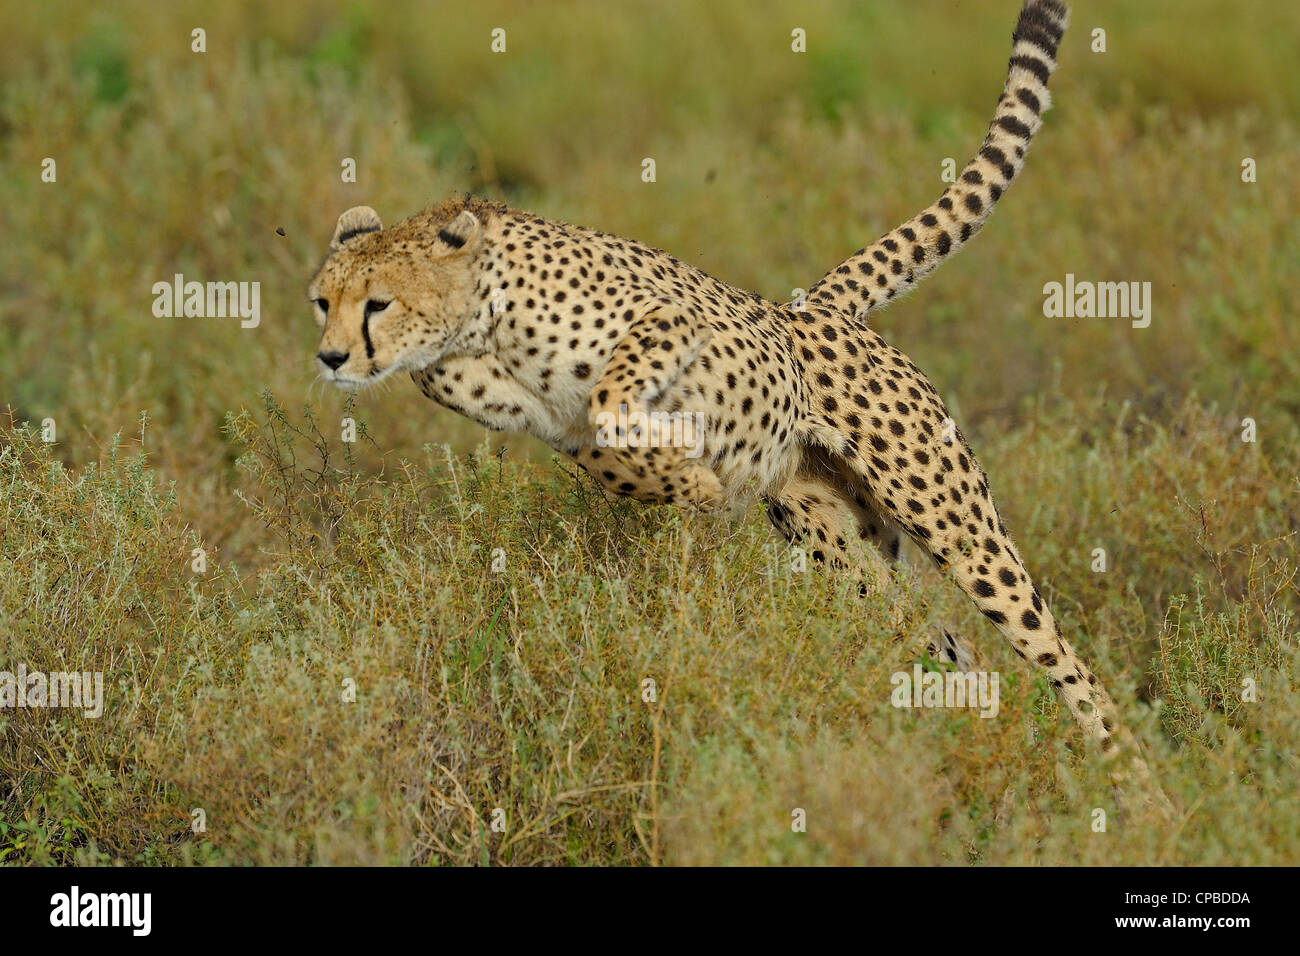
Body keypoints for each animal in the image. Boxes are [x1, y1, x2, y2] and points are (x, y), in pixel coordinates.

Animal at [307, 0, 1162, 791]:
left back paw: (1141, 789)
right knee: (941, 644)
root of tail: (812, 308)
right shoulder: (543, 420)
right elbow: (603, 444)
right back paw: (976, 741)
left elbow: (618, 398)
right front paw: (686, 480)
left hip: (952, 522)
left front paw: (692, 476)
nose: (331, 357)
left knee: (1059, 658)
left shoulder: (672, 317)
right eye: (323, 302)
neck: (477, 316)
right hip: (840, 548)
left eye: (377, 303)